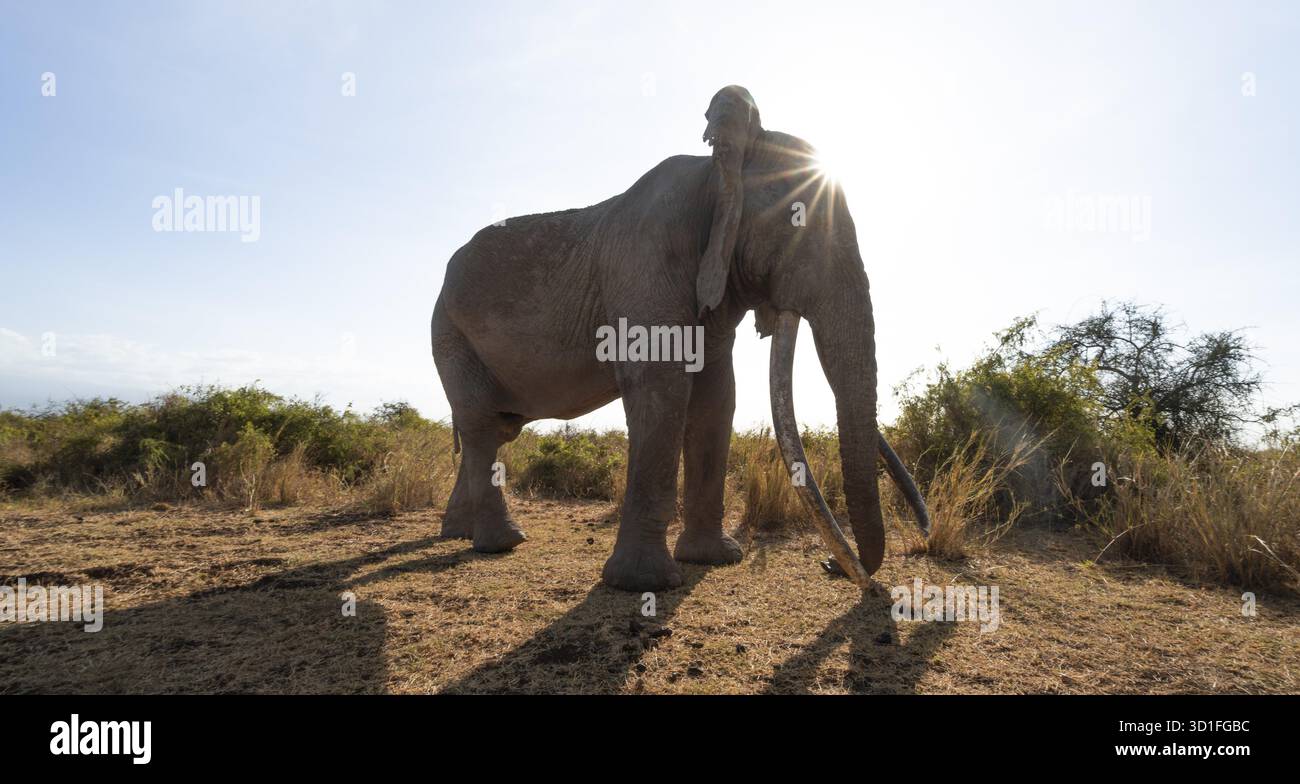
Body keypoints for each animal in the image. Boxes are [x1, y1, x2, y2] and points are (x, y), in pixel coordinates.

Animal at [431, 85, 930, 592]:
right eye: (798, 219)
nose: (829, 565)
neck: (720, 174)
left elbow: (716, 396)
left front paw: (714, 558)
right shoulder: (647, 260)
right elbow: (662, 389)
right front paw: (645, 583)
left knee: (495, 429)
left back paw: (462, 533)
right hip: (449, 333)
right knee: (480, 425)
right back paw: (502, 543)